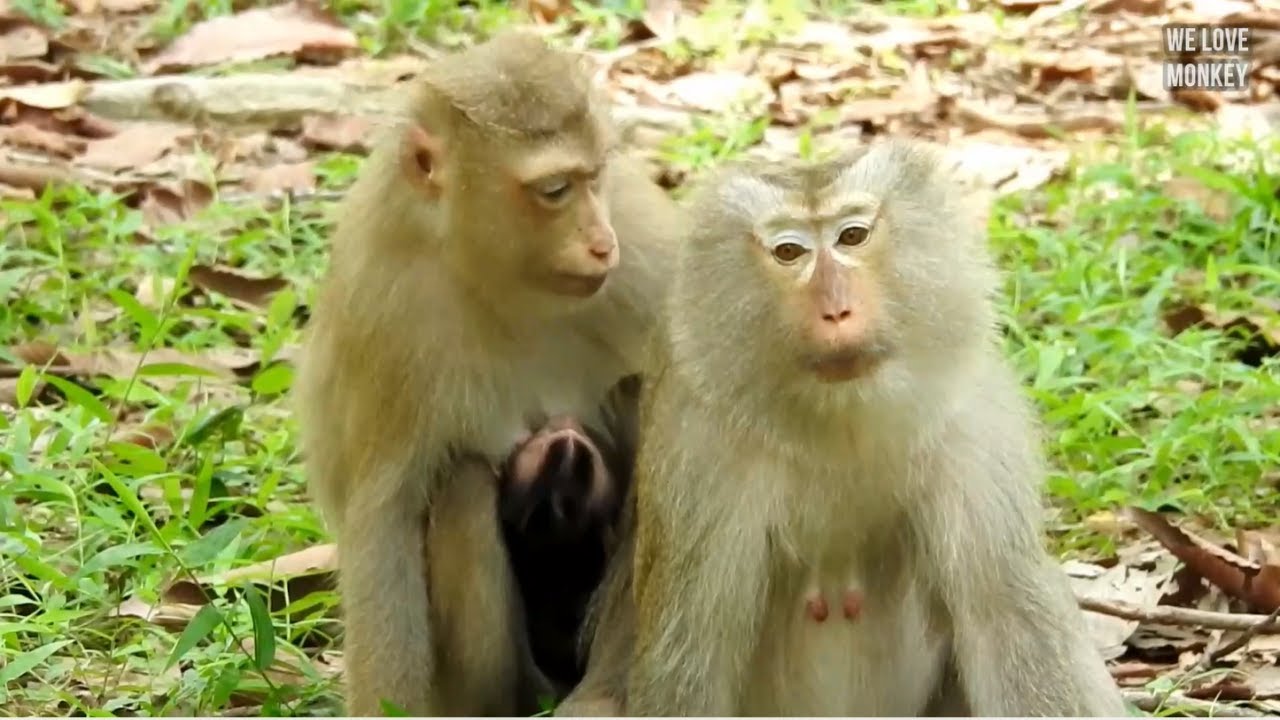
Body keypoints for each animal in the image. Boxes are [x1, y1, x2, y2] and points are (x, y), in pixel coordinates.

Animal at [292, 31, 681, 716]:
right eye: (554, 191)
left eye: (593, 178)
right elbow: (385, 519)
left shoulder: (640, 241)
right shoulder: (383, 306)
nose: (599, 243)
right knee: (464, 488)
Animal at [615, 139, 1128, 716]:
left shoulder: (972, 421)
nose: (836, 310)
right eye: (789, 252)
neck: (844, 423)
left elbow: (1006, 614)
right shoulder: (698, 447)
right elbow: (692, 655)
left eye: (852, 236)